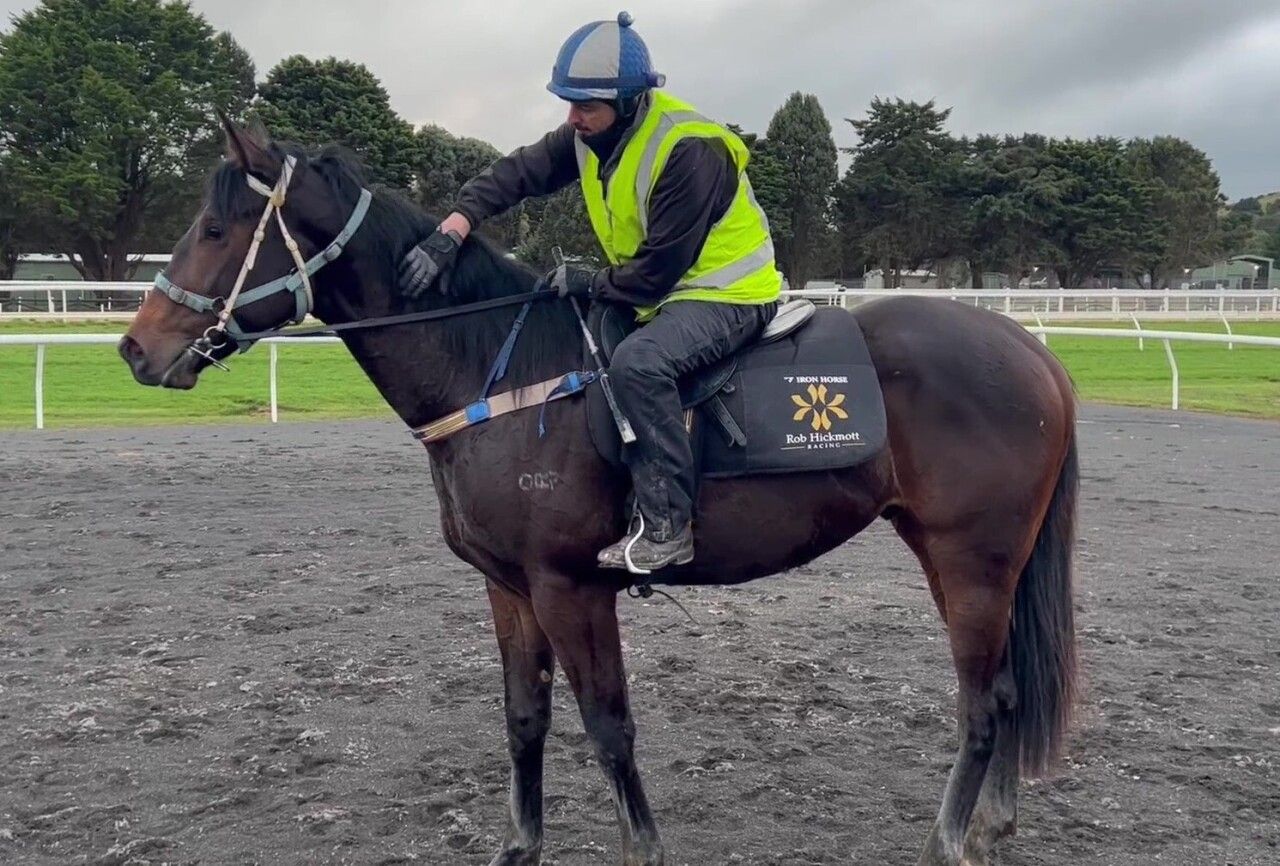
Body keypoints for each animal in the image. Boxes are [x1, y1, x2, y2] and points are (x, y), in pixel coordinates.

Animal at [119, 119, 1079, 866]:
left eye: (215, 227)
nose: (136, 347)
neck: (500, 368)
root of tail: (1029, 351)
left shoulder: (571, 587)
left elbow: (608, 726)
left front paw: (638, 848)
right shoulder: (509, 588)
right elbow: (524, 718)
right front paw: (519, 844)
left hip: (971, 560)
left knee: (980, 707)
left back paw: (947, 841)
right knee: (1005, 694)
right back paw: (990, 830)